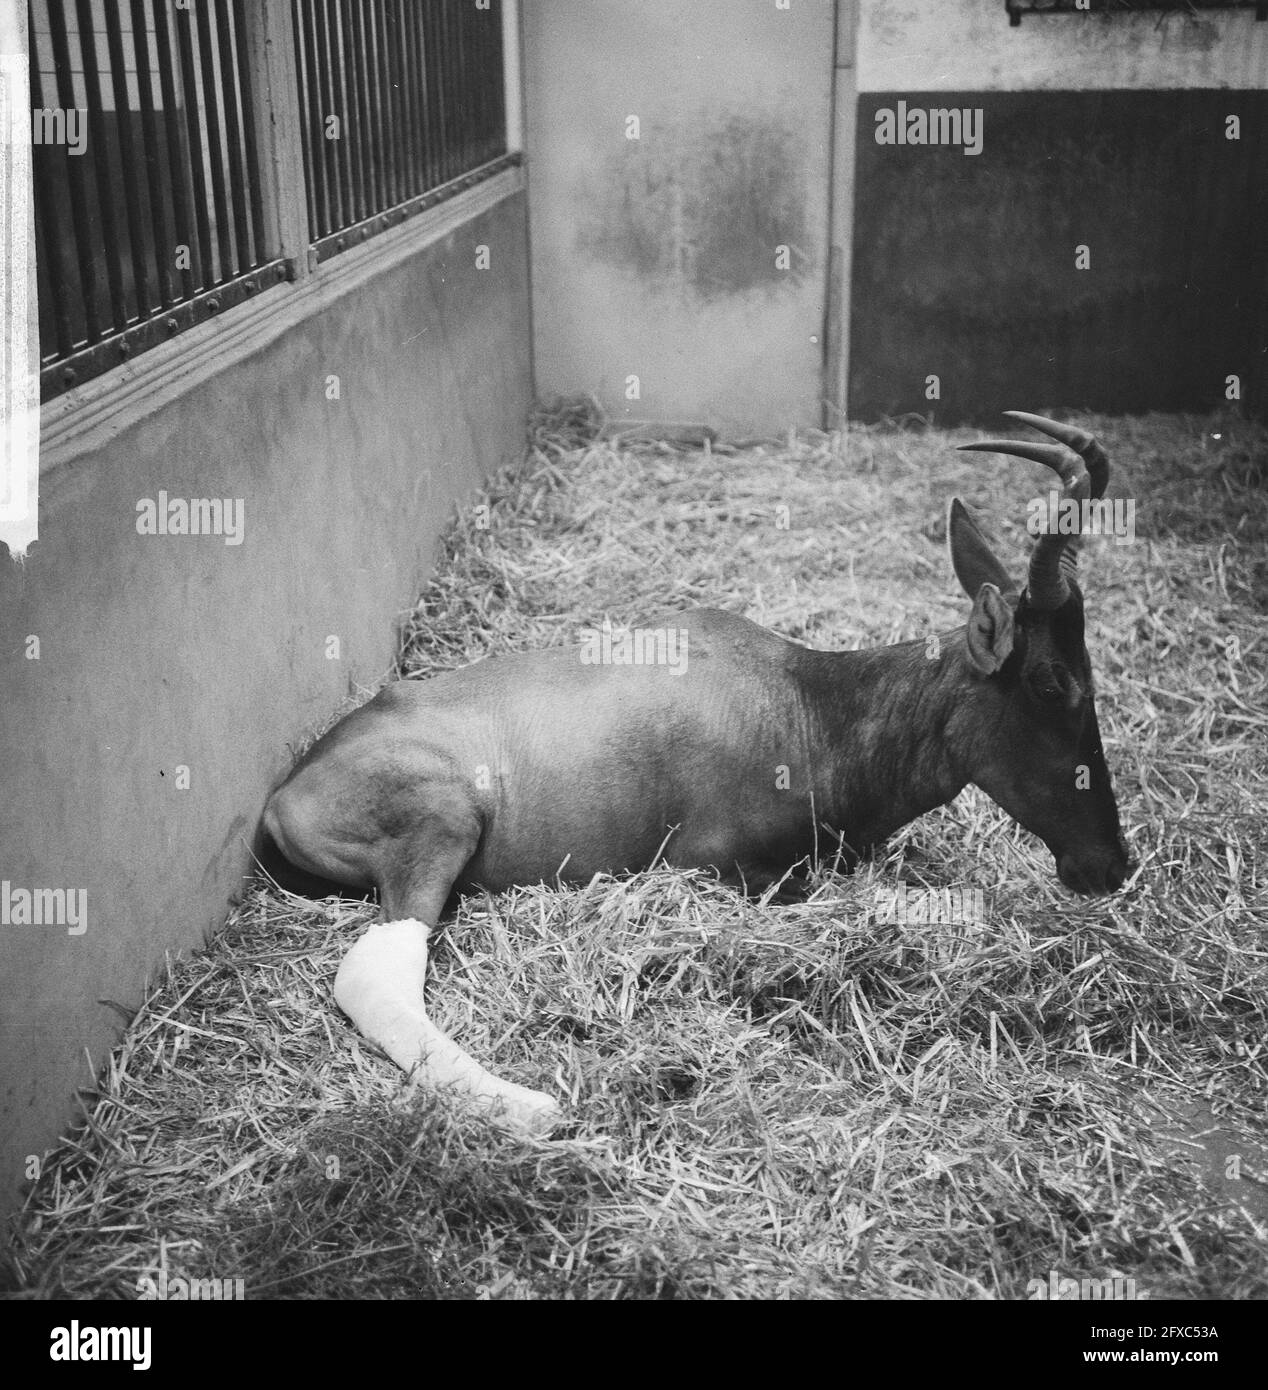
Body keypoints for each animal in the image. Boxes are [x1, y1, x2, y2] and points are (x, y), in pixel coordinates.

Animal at [261, 412, 1132, 1133]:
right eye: (1052, 682)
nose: (1108, 864)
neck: (804, 699)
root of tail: (285, 794)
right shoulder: (728, 867)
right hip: (443, 823)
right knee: (375, 971)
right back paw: (531, 1108)